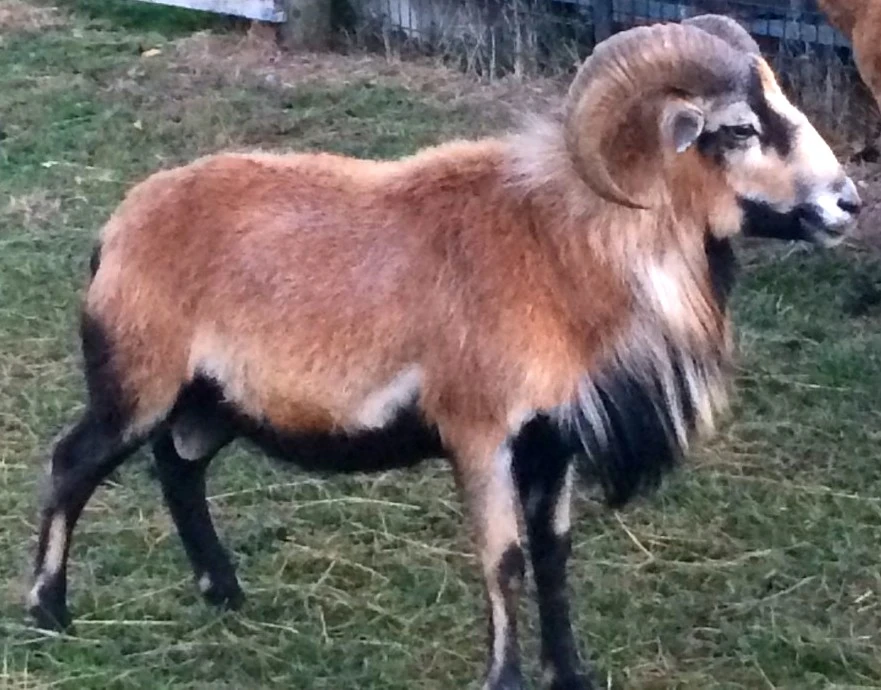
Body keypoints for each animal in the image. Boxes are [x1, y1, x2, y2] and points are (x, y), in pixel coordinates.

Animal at [28, 16, 861, 690]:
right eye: (738, 128)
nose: (847, 203)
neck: (564, 251)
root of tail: (115, 232)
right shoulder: (479, 432)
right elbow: (504, 558)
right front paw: (506, 679)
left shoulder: (552, 441)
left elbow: (553, 554)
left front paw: (571, 674)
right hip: (135, 383)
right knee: (74, 463)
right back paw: (49, 614)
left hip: (209, 401)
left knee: (179, 467)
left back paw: (222, 593)